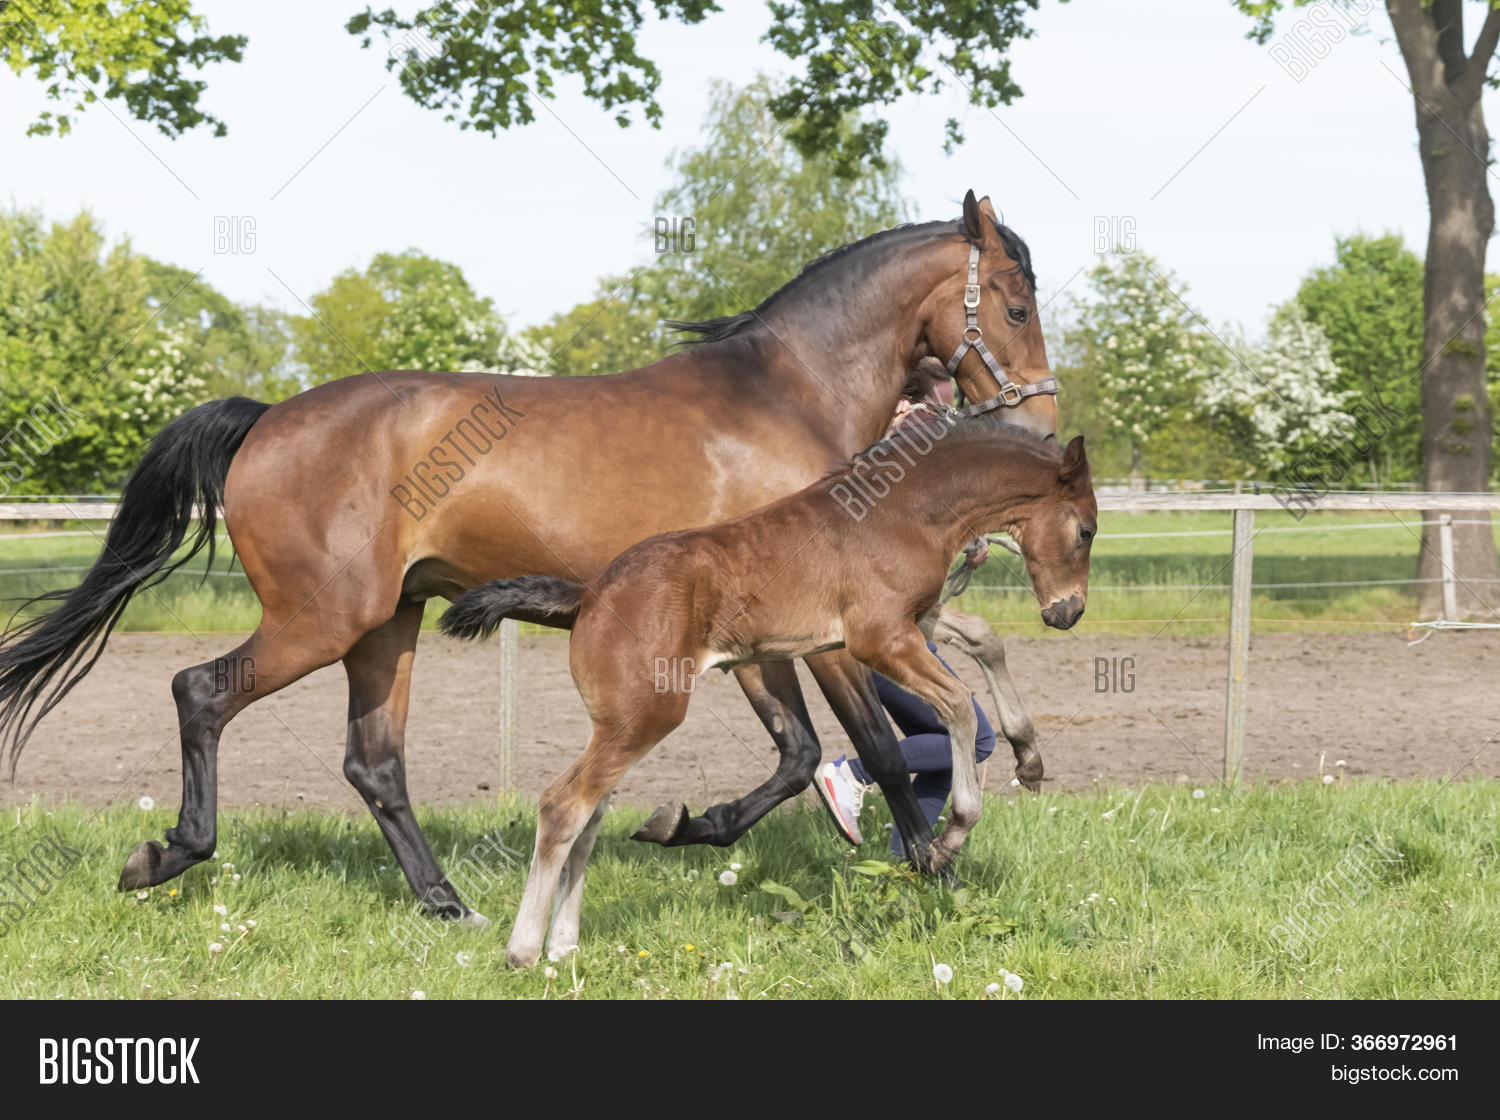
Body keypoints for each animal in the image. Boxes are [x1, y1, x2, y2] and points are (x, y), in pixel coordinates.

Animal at [0, 190, 1058, 921]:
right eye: (1014, 307)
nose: (1041, 432)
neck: (784, 398)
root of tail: (266, 421)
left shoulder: (758, 639)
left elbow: (803, 754)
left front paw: (688, 825)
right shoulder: (821, 631)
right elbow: (873, 748)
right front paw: (932, 875)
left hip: (389, 626)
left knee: (374, 763)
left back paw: (449, 906)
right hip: (323, 619)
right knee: (202, 692)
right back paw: (166, 855)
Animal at [439, 417, 1096, 966]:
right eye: (1088, 529)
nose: (1067, 613)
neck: (904, 512)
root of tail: (590, 594)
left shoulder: (913, 621)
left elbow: (985, 639)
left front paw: (1029, 758)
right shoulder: (877, 638)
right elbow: (957, 705)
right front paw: (949, 838)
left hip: (622, 722)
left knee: (591, 810)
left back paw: (565, 945)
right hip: (647, 714)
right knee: (563, 805)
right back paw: (524, 950)